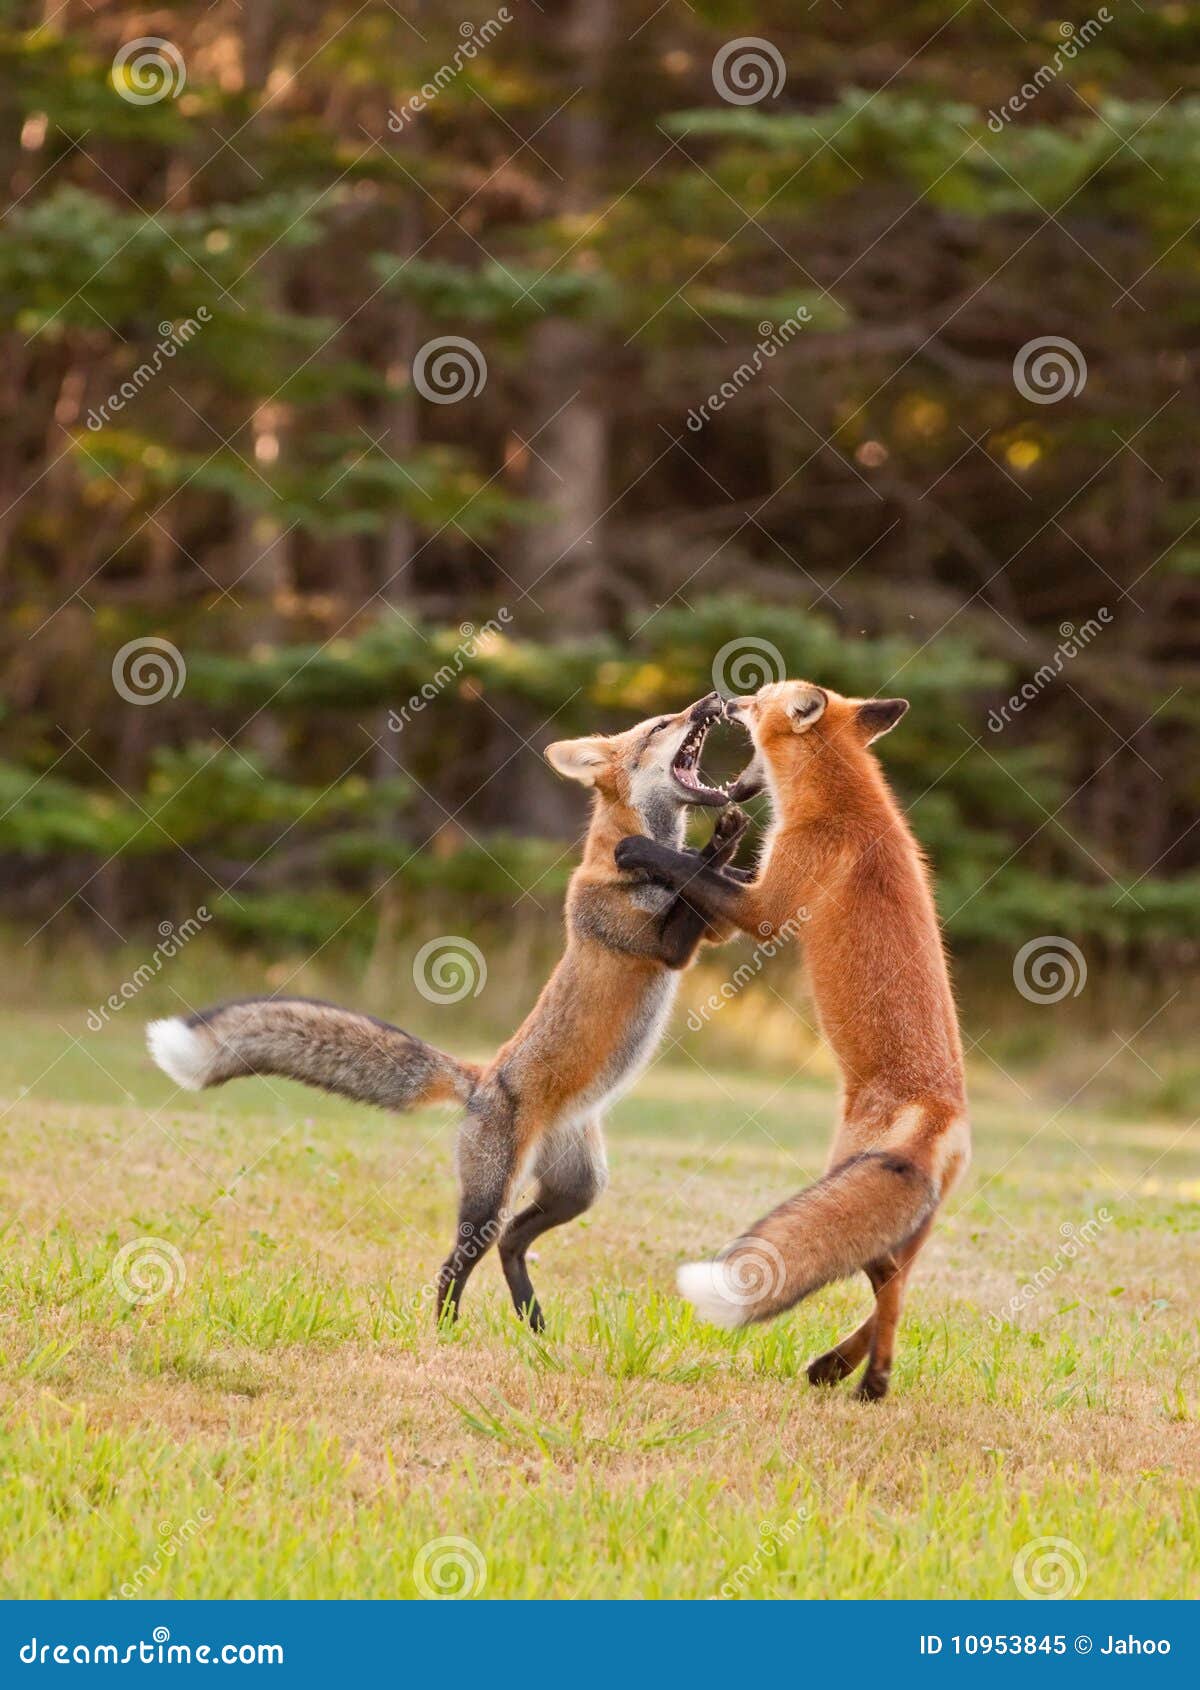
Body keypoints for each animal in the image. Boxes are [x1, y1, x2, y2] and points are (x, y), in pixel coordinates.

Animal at [147, 691, 754, 1332]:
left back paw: (533, 1322)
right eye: (662, 725)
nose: (714, 698)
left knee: (513, 1243)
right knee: (456, 1264)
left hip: (578, 1189)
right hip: (489, 1198)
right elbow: (688, 890)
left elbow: (708, 891)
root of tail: (481, 1078)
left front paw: (729, 860)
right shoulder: (659, 944)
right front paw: (717, 843)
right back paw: (445, 1331)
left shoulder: (708, 935)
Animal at [614, 679, 970, 1400]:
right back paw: (839, 1366)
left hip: (853, 1174)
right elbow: (702, 879)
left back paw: (872, 1382)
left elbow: (684, 869)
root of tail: (938, 1109)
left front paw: (639, 851)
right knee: (897, 1281)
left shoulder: (767, 908)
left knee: (885, 1284)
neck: (840, 800)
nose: (723, 695)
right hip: (914, 1219)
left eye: (753, 700)